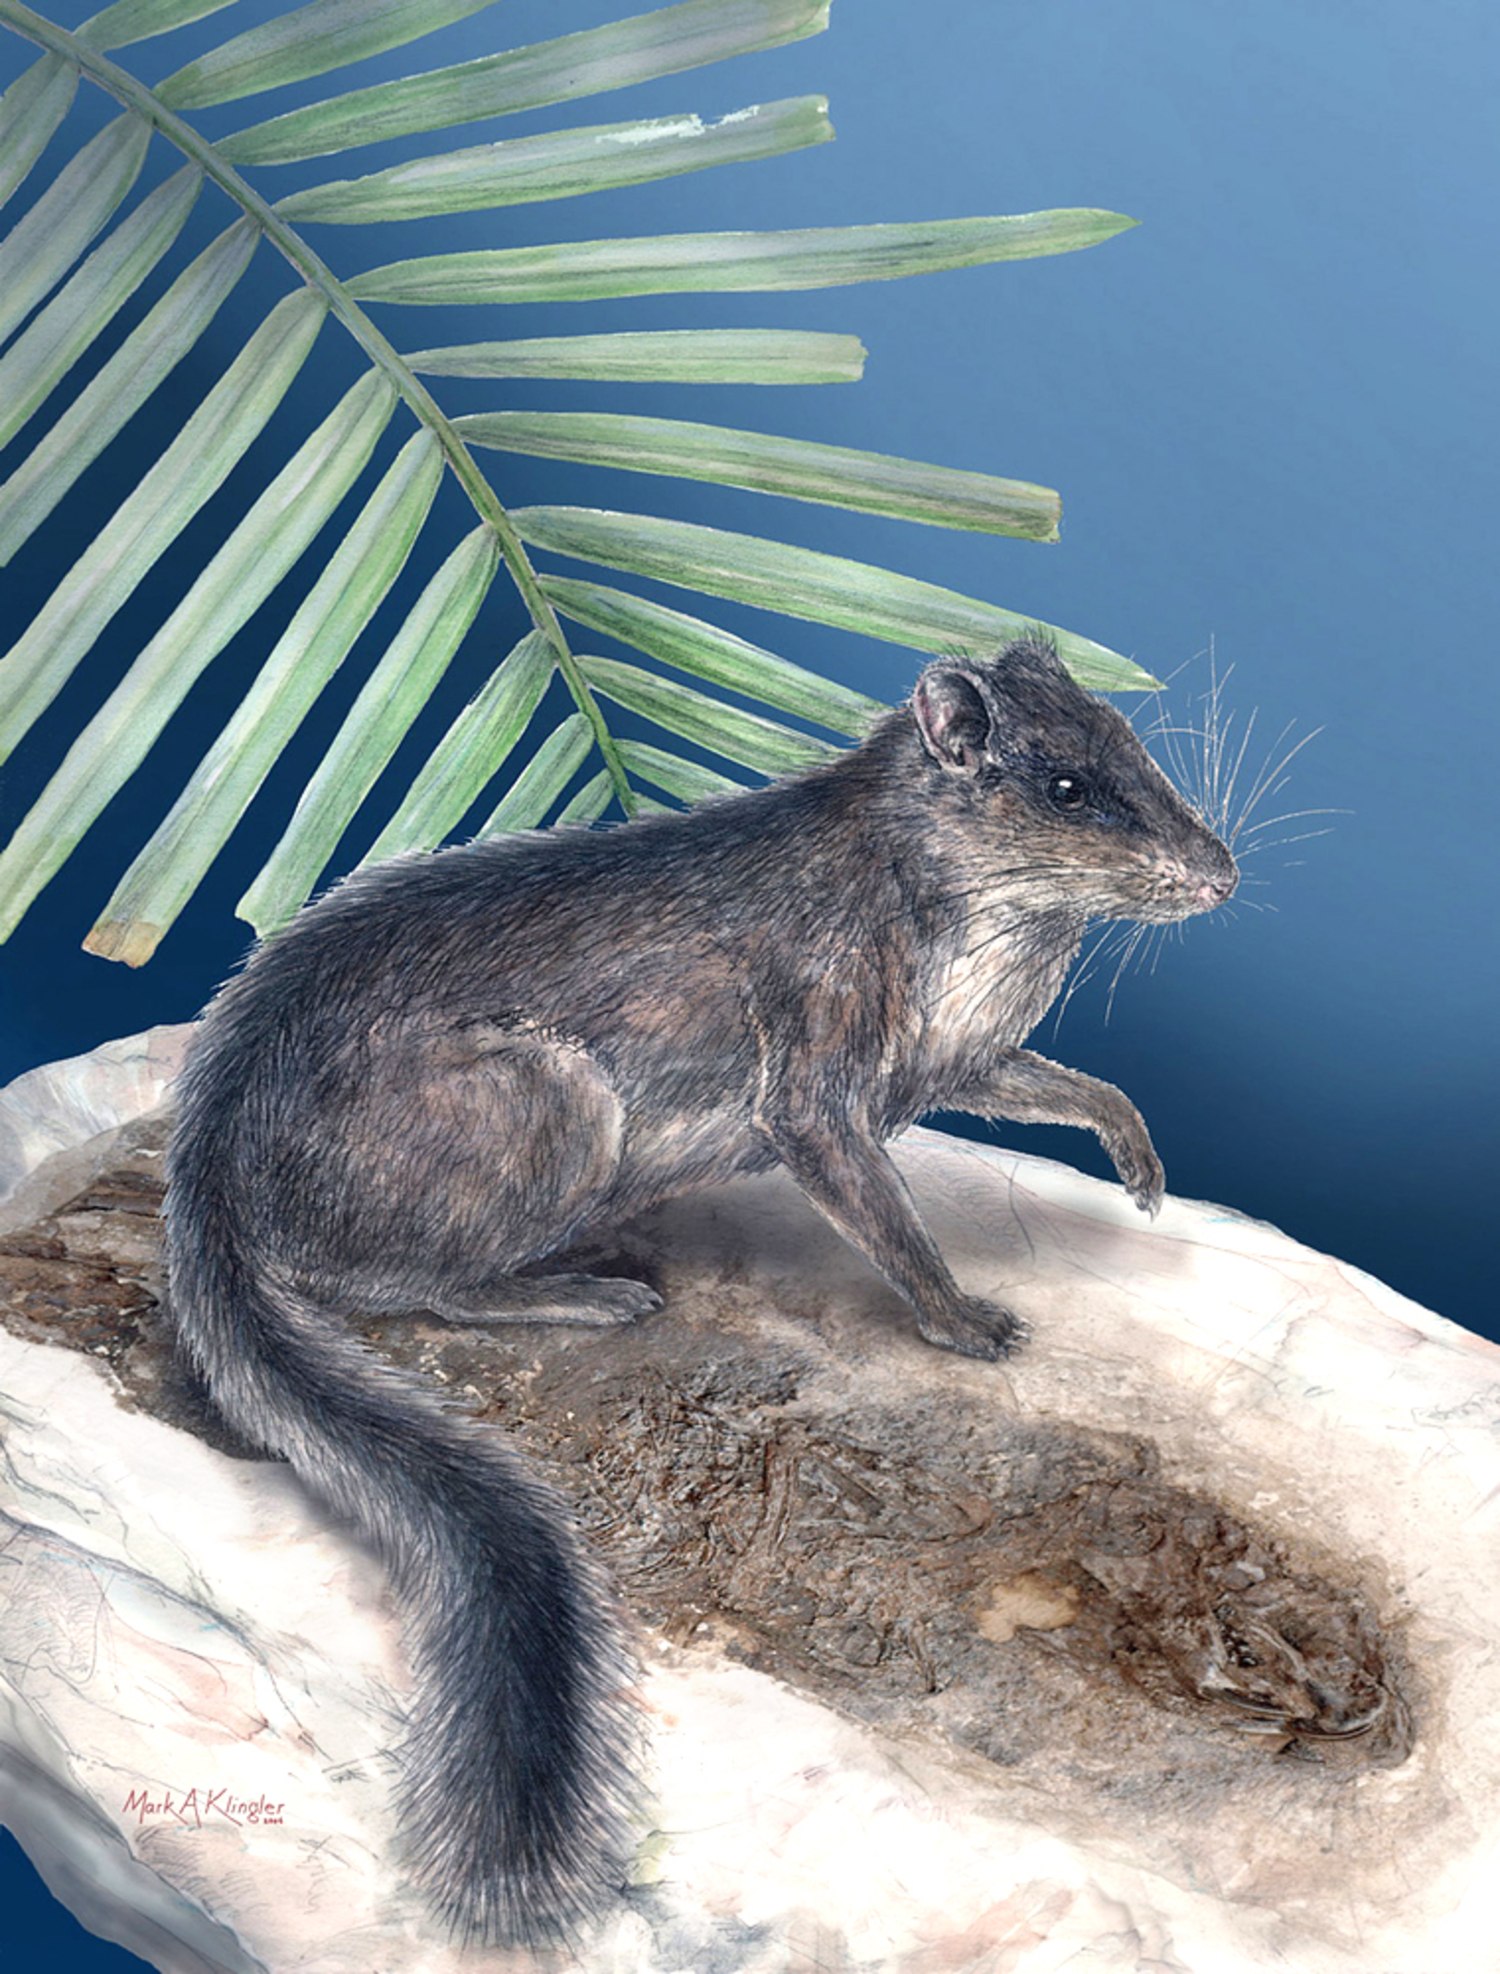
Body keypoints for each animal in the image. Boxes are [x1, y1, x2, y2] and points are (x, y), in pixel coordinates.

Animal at [163, 631, 1237, 1943]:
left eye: (1135, 751)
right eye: (1069, 789)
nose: (1221, 874)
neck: (980, 929)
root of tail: (211, 1157)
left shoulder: (960, 1056)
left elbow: (1072, 1086)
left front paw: (1142, 1169)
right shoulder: (818, 1070)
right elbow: (884, 1213)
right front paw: (968, 1321)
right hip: (547, 1103)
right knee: (399, 1285)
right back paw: (588, 1290)